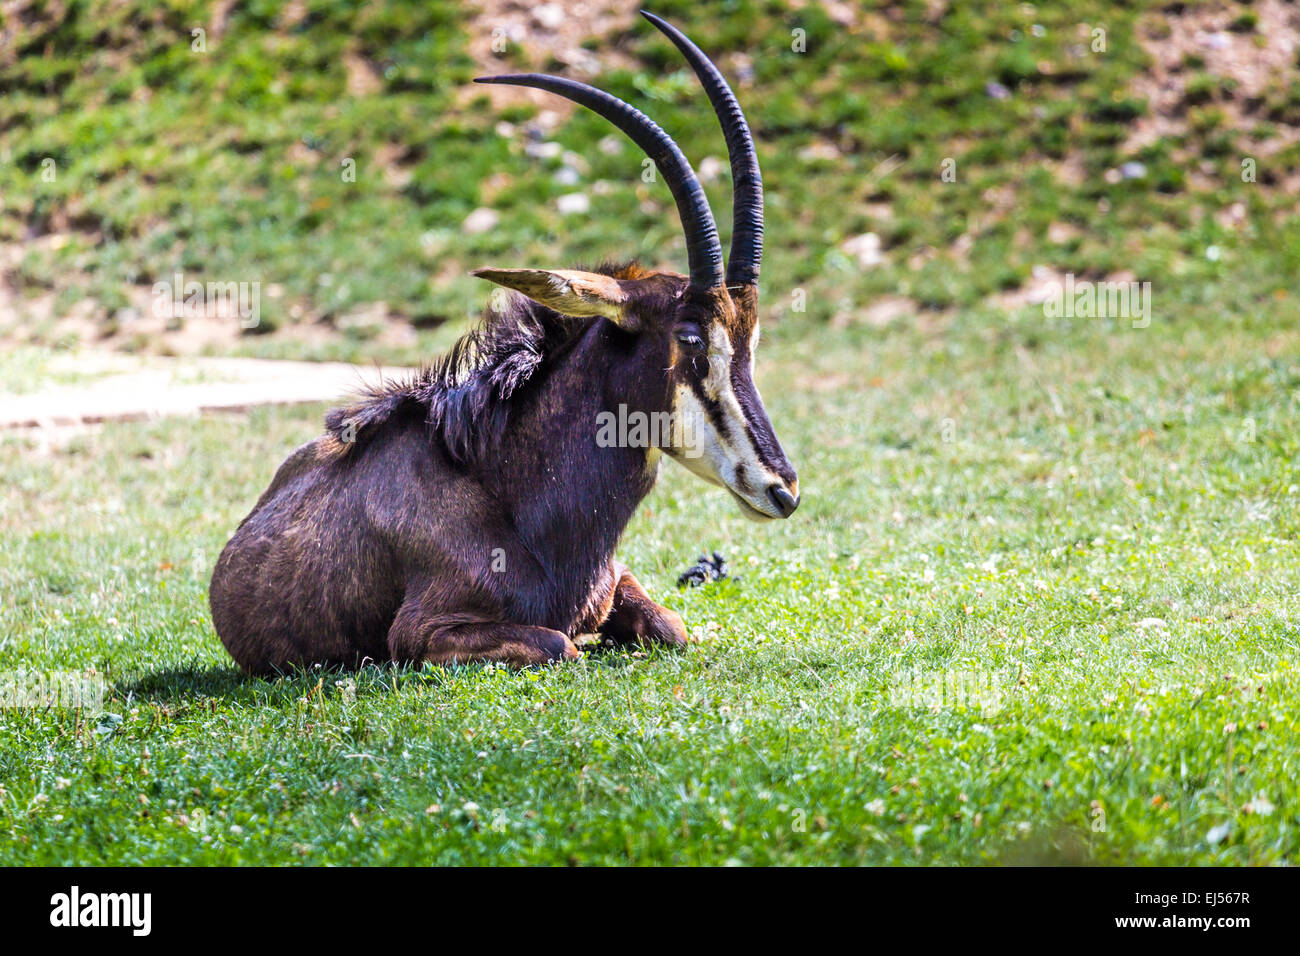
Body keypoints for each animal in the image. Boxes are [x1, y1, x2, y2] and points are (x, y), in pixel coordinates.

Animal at [209, 12, 800, 672]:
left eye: (751, 341)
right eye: (691, 336)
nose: (782, 490)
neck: (514, 498)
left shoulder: (618, 581)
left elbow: (670, 626)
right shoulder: (422, 633)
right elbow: (561, 642)